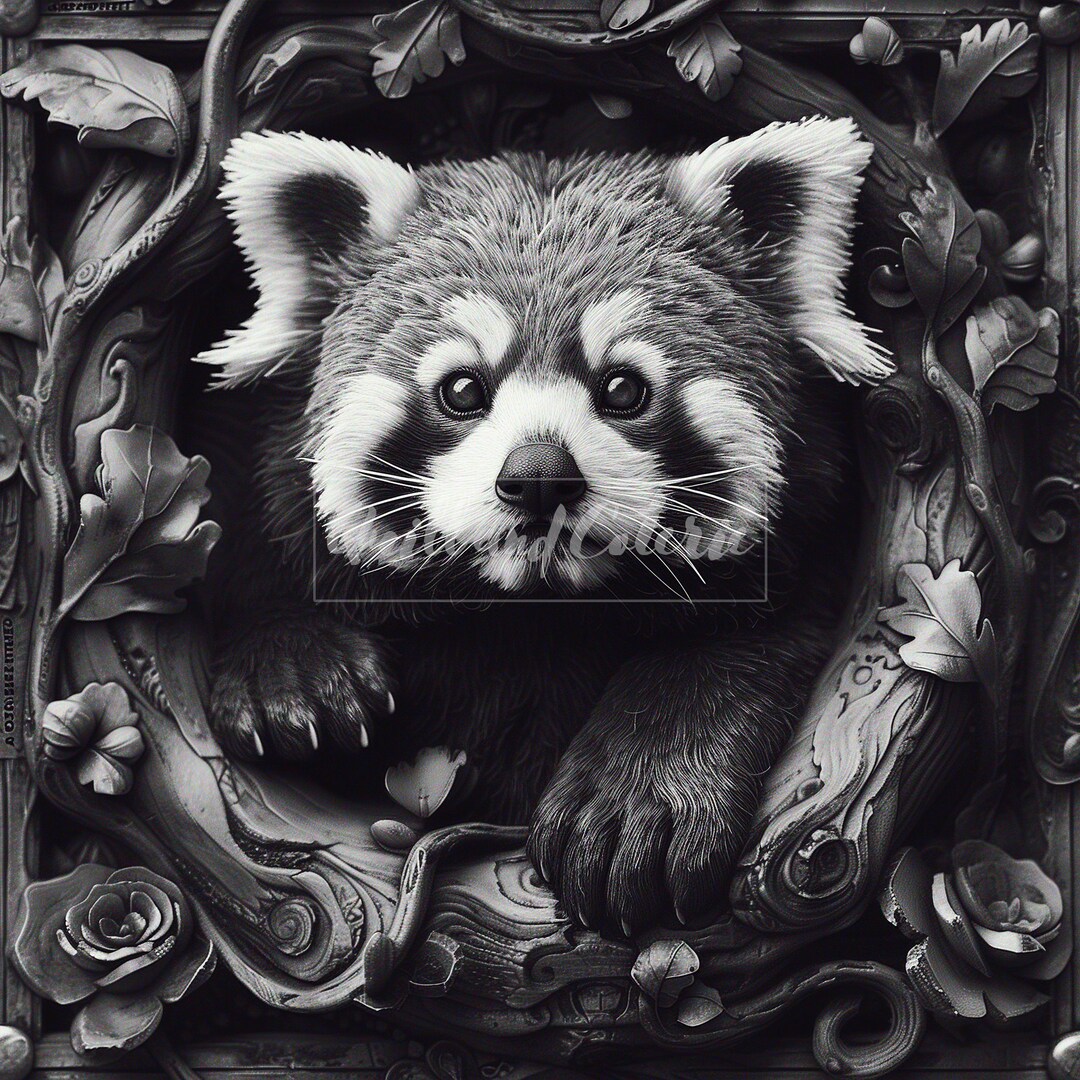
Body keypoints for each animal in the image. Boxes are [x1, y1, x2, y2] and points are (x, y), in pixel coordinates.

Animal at [197, 116, 891, 935]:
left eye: (623, 388)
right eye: (462, 389)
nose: (537, 474)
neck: (536, 608)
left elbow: (746, 636)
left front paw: (636, 799)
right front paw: (295, 673)